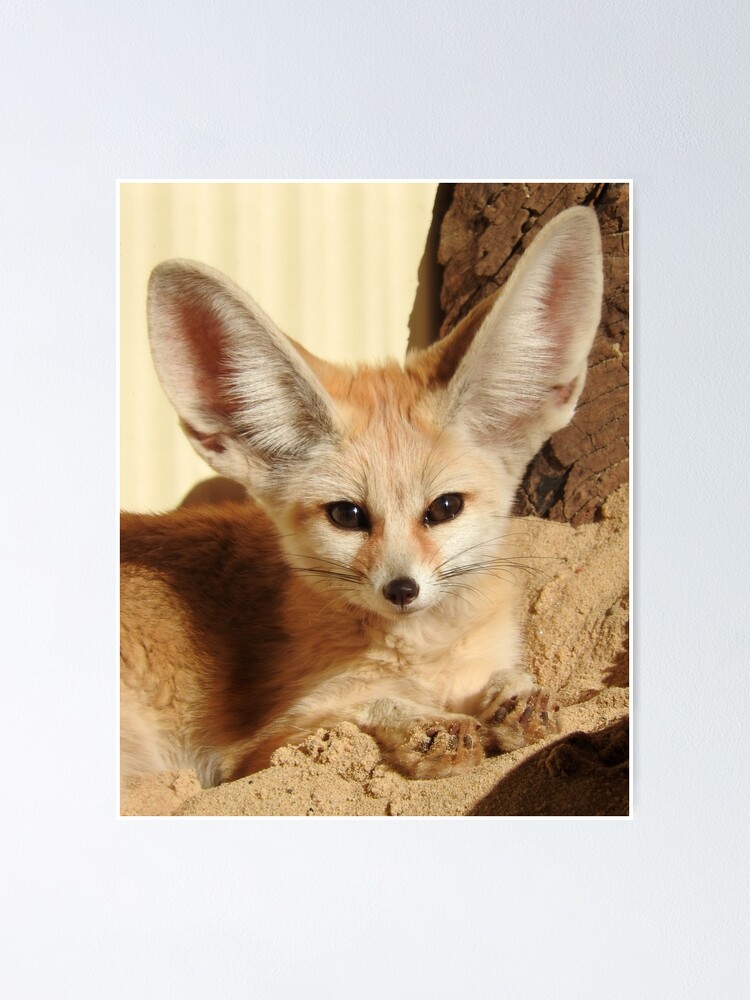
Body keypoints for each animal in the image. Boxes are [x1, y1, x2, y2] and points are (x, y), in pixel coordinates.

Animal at [120, 204, 603, 790]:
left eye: (445, 508)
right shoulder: (262, 745)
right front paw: (430, 727)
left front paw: (516, 697)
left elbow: (508, 676)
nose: (401, 589)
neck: (428, 656)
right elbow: (369, 704)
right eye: (347, 515)